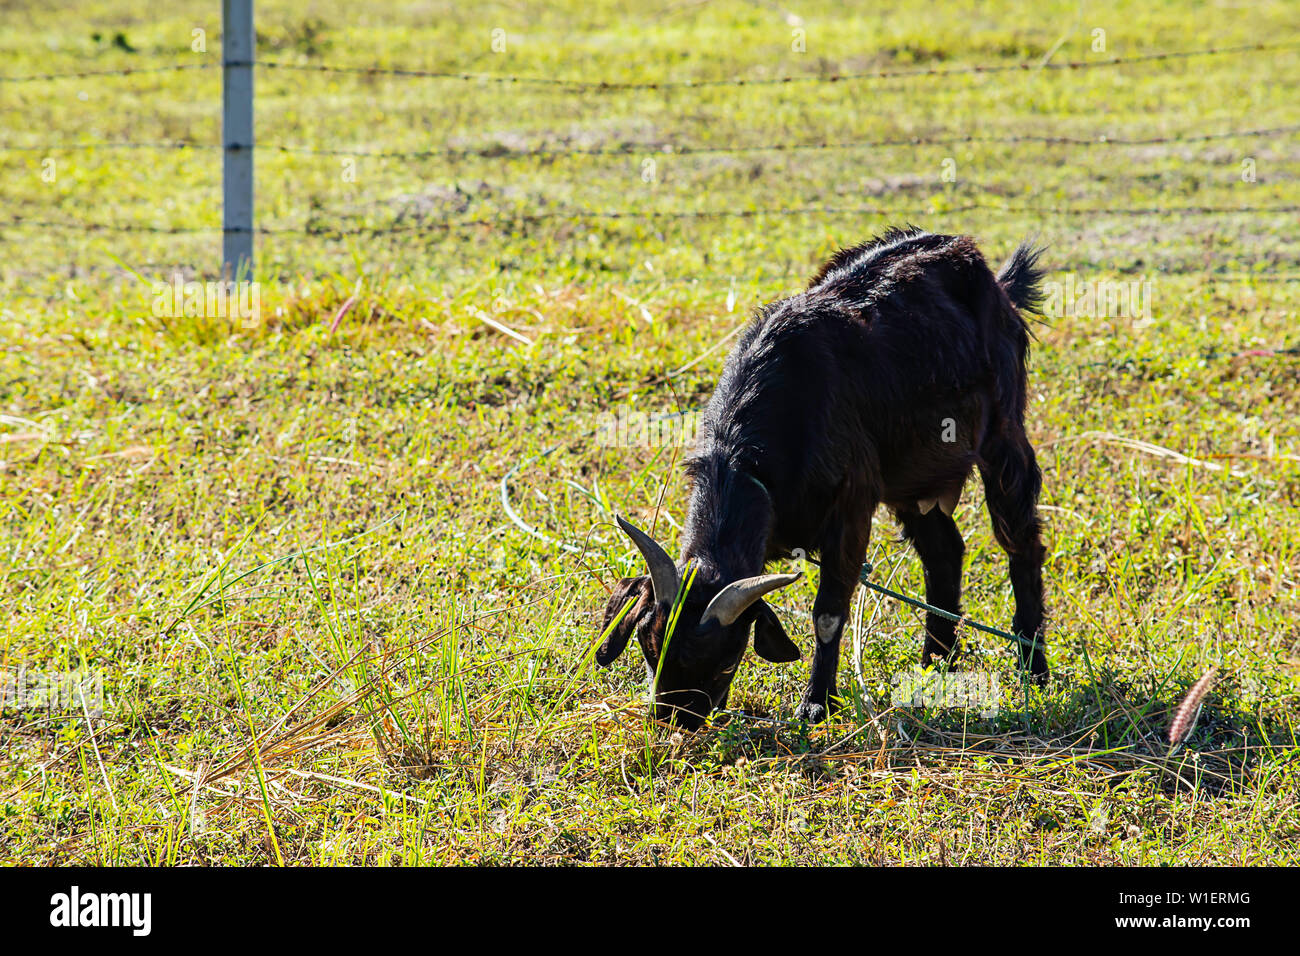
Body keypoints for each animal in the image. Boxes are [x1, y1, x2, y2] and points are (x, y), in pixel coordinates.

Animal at [597, 227, 1048, 728]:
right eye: (649, 646)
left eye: (727, 660)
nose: (678, 720)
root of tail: (996, 282)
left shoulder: (852, 506)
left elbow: (828, 613)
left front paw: (816, 702)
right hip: (911, 481)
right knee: (944, 551)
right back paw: (936, 665)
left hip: (1003, 440)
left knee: (1022, 544)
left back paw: (1034, 666)